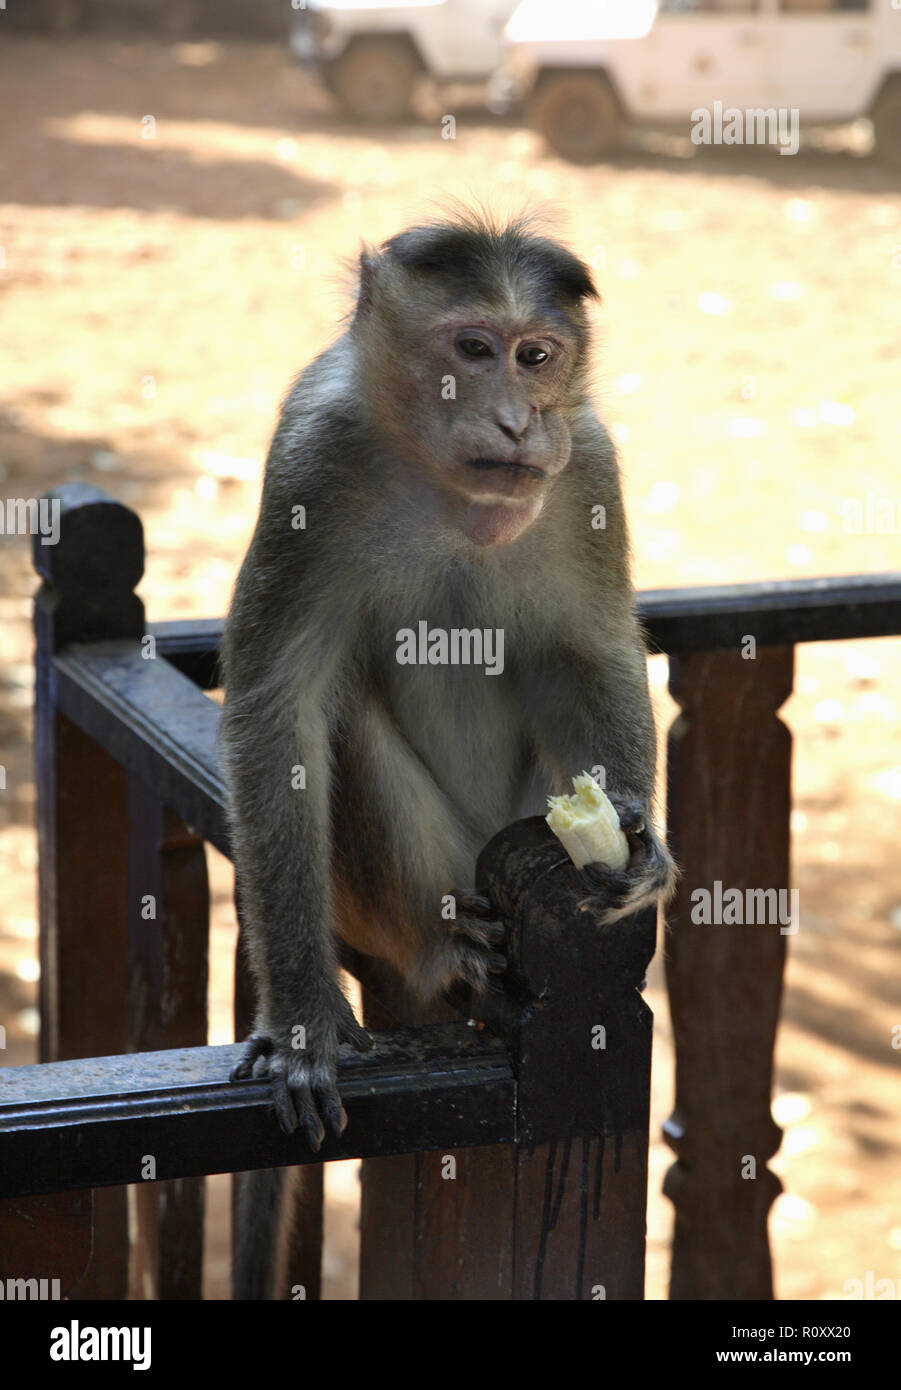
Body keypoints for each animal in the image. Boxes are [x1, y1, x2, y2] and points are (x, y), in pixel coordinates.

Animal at [220, 210, 677, 1298]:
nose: (518, 421)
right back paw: (455, 950)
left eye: (536, 355)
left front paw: (634, 837)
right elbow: (277, 715)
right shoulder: (313, 456)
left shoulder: (586, 464)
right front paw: (301, 1023)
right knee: (337, 721)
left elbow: (592, 650)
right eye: (471, 349)